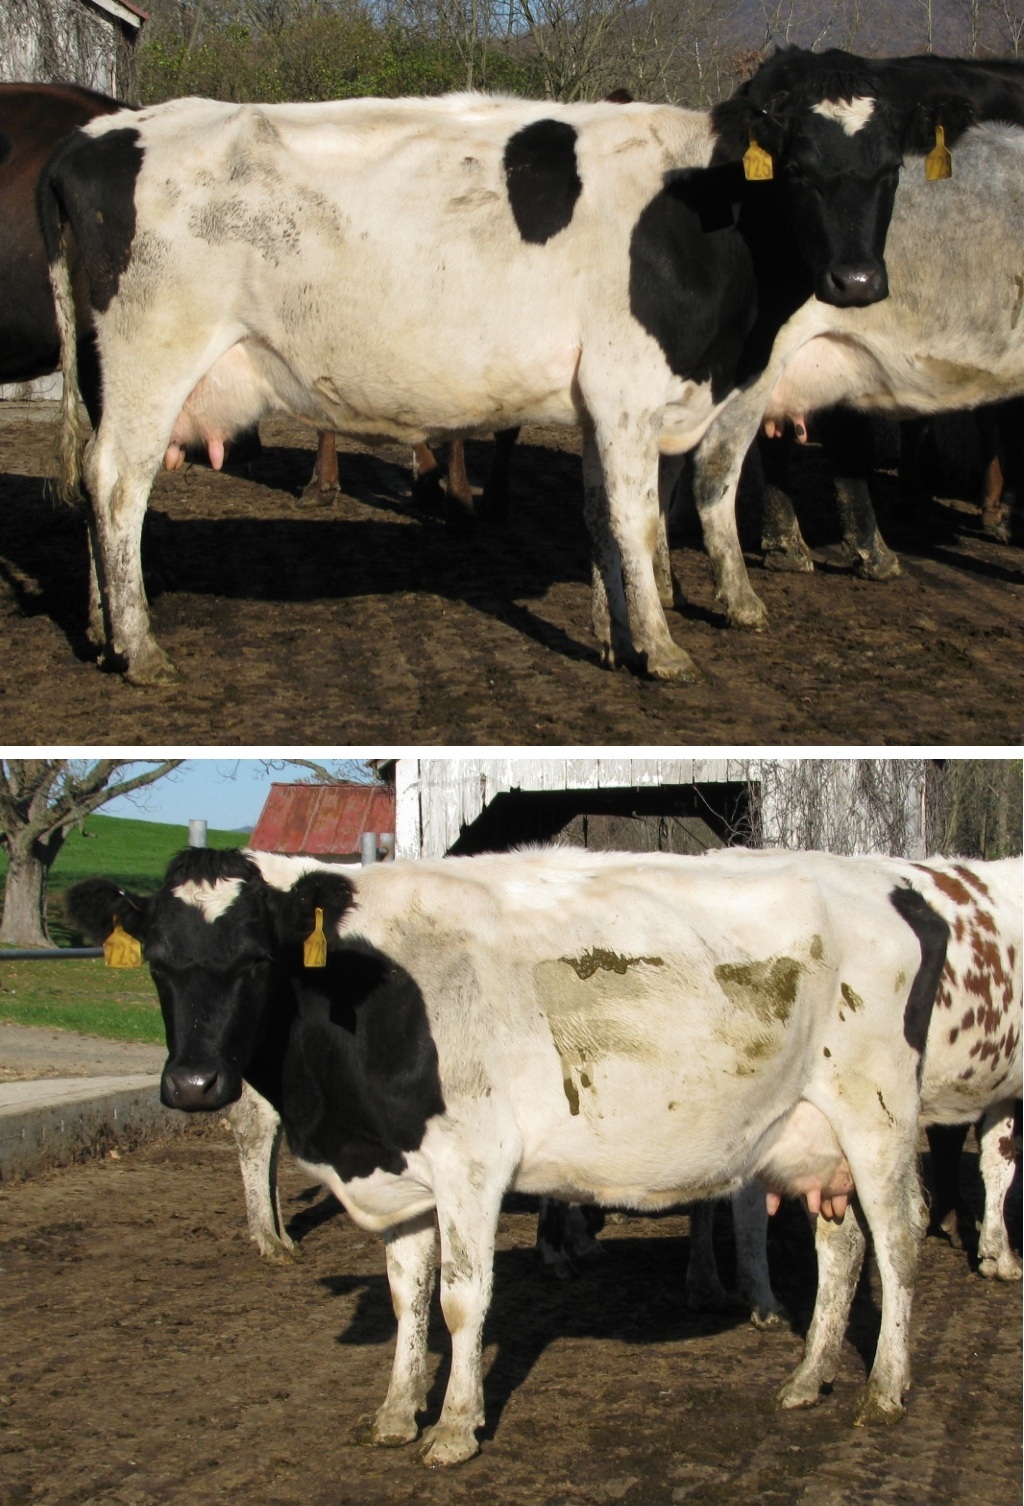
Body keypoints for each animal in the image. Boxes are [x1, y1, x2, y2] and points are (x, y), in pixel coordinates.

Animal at [39, 51, 975, 684]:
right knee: (117, 484)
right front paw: (663, 648)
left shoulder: (603, 401)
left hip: (100, 372)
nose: (857, 283)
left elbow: (601, 518)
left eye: (889, 169)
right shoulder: (629, 390)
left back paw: (102, 629)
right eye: (800, 168)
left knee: (89, 481)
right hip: (152, 358)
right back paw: (141, 647)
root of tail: (96, 135)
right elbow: (640, 520)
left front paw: (615, 638)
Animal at [67, 843, 992, 1465]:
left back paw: (884, 1391)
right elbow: (407, 1301)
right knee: (842, 1250)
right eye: (157, 963)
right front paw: (396, 1413)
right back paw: (808, 1379)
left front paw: (452, 1429)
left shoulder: (472, 1163)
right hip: (808, 1136)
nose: (193, 1083)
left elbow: (461, 1303)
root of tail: (893, 882)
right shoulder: (399, 1176)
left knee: (897, 1245)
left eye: (258, 960)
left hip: (876, 1115)